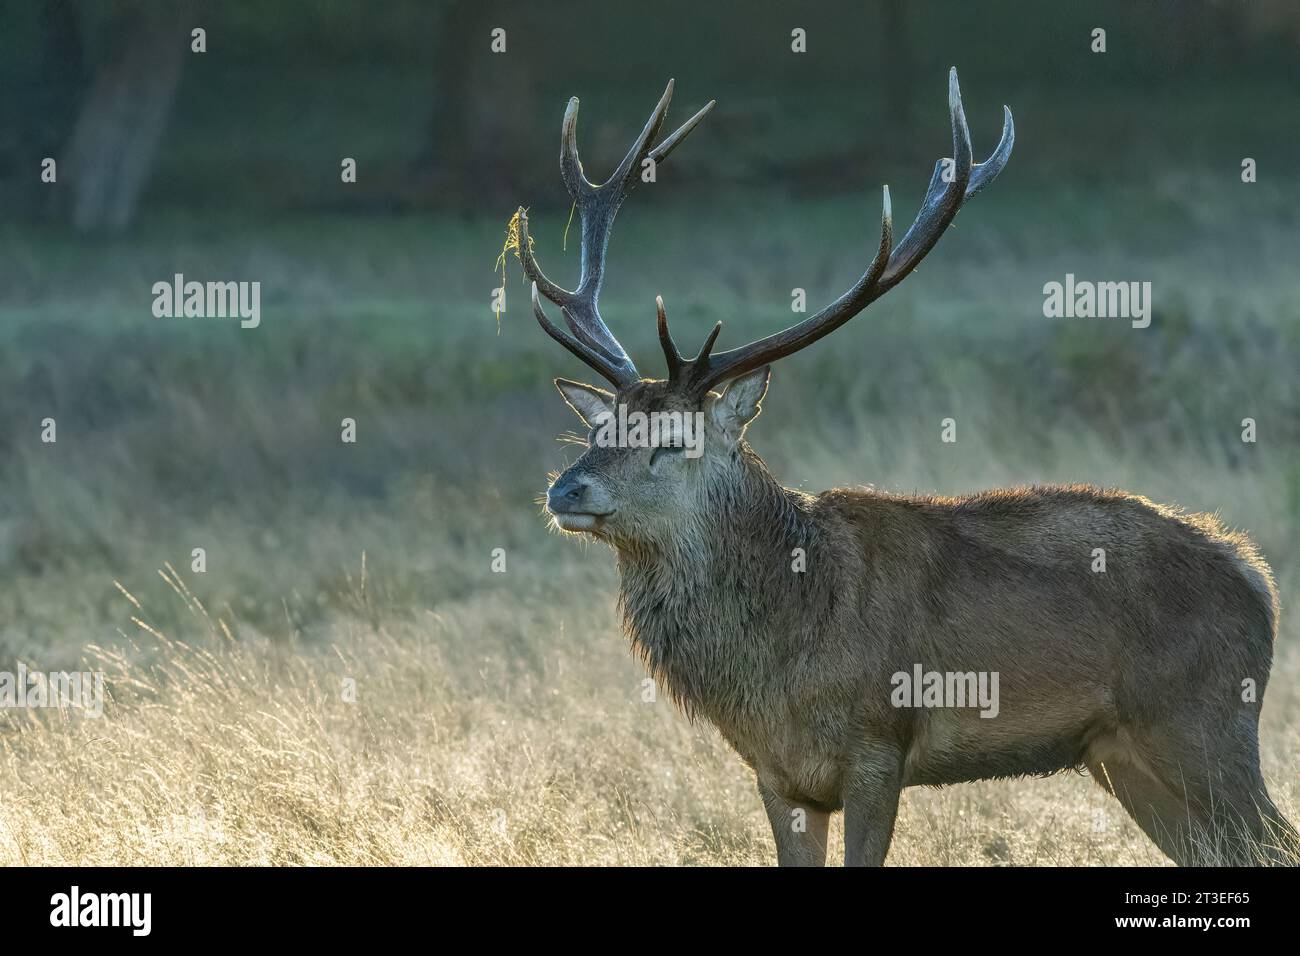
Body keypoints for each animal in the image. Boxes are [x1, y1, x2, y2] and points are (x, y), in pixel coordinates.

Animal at [511, 70, 1295, 866]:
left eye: (673, 438)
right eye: (599, 428)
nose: (566, 488)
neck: (783, 661)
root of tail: (1256, 578)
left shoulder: (878, 745)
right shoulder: (775, 774)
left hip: (1205, 725)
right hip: (1124, 758)